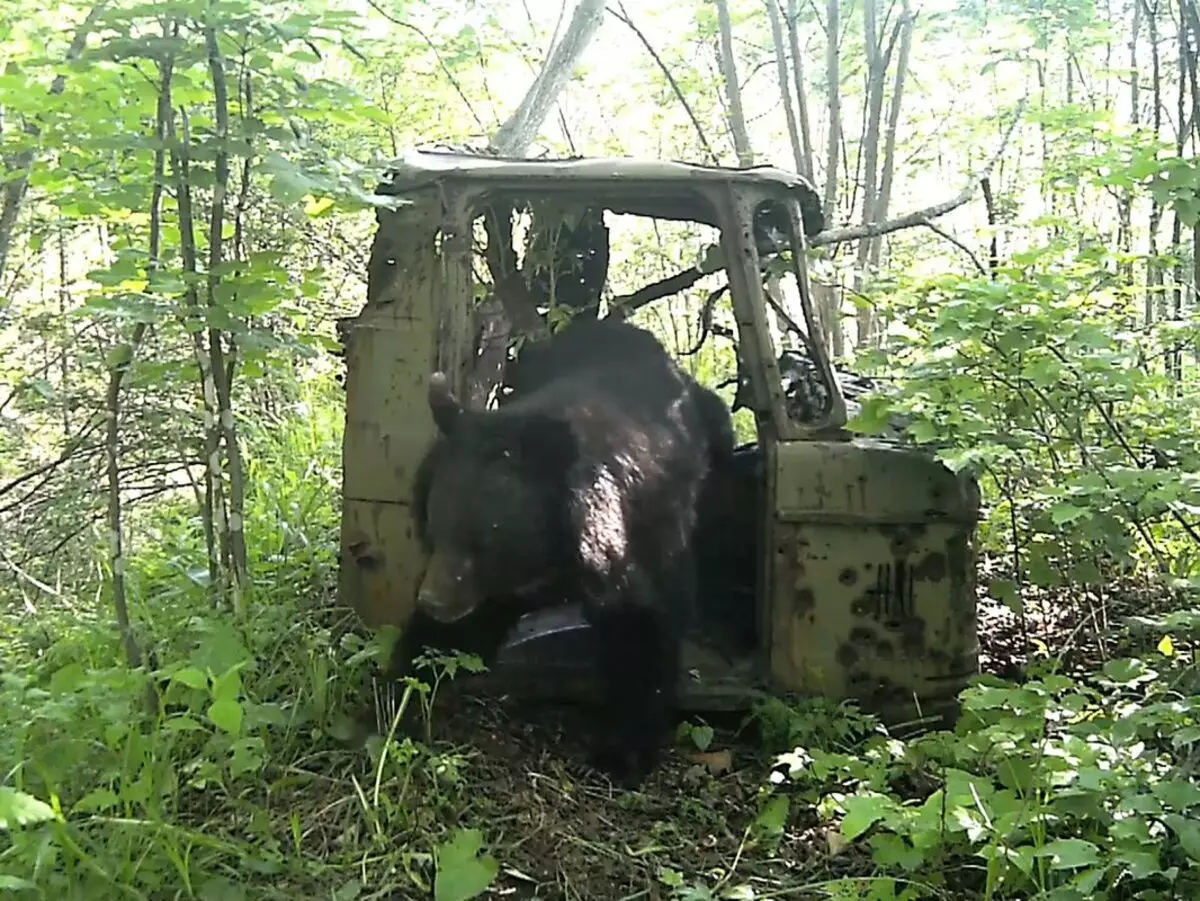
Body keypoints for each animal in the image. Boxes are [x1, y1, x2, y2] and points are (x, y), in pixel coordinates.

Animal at [403, 321, 720, 787]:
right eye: (435, 525)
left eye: (484, 540)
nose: (433, 602)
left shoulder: (634, 538)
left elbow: (643, 626)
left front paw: (622, 754)